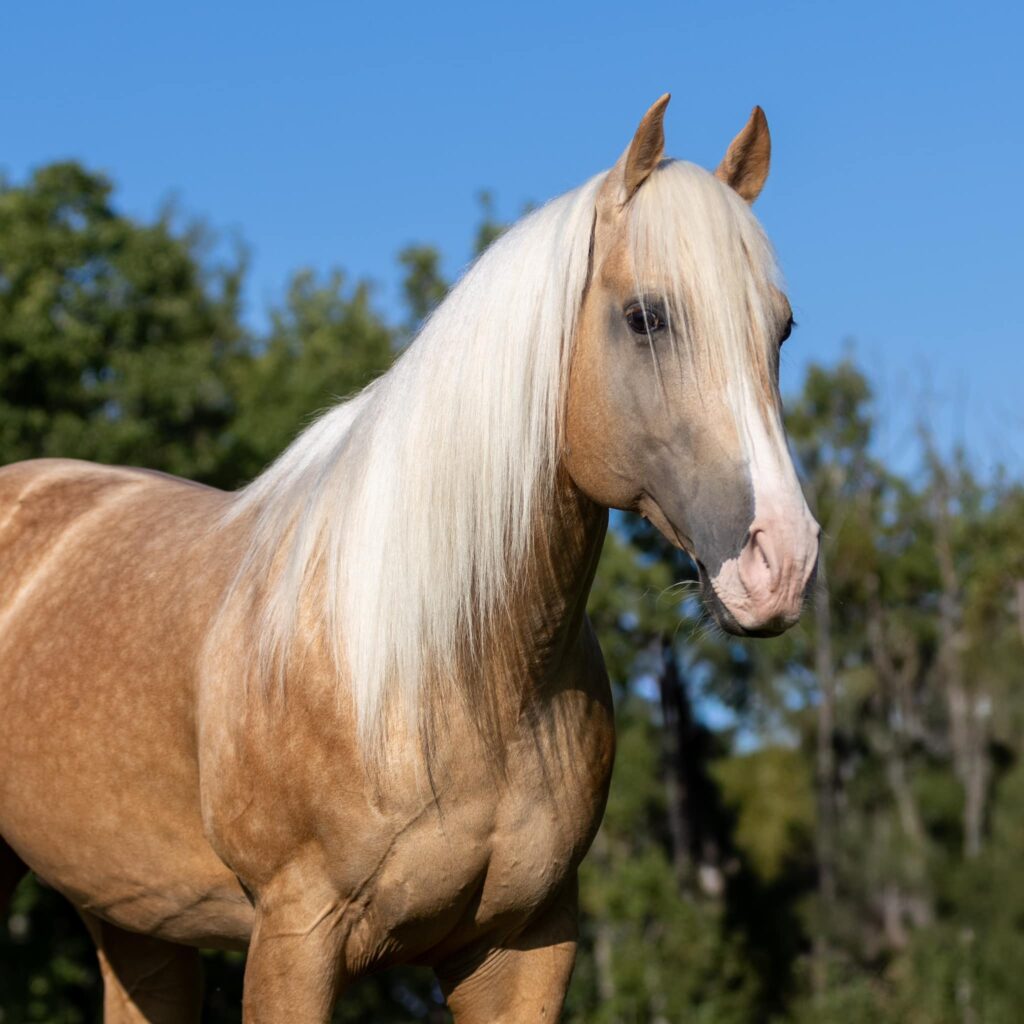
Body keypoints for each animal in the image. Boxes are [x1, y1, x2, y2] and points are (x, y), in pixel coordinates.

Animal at [0, 95, 820, 1022]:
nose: (781, 562)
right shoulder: (294, 940)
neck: (440, 670)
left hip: (133, 920)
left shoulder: (525, 947)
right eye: (646, 316)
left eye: (782, 328)